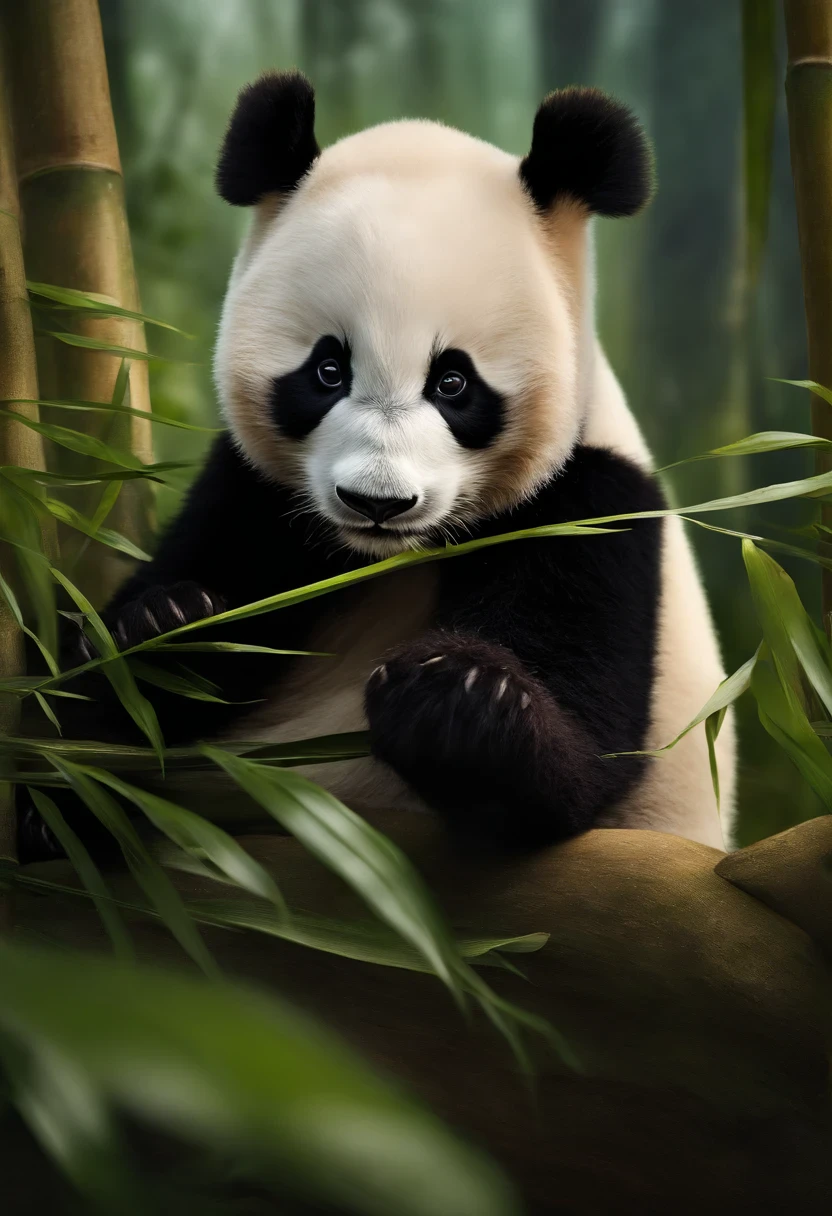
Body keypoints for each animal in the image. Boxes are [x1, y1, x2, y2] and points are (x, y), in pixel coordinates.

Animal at [20, 71, 734, 860]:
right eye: (328, 370)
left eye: (453, 383)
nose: (377, 502)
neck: (386, 558)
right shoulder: (252, 488)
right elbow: (99, 681)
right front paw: (170, 626)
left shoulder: (591, 503)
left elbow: (581, 749)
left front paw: (458, 695)